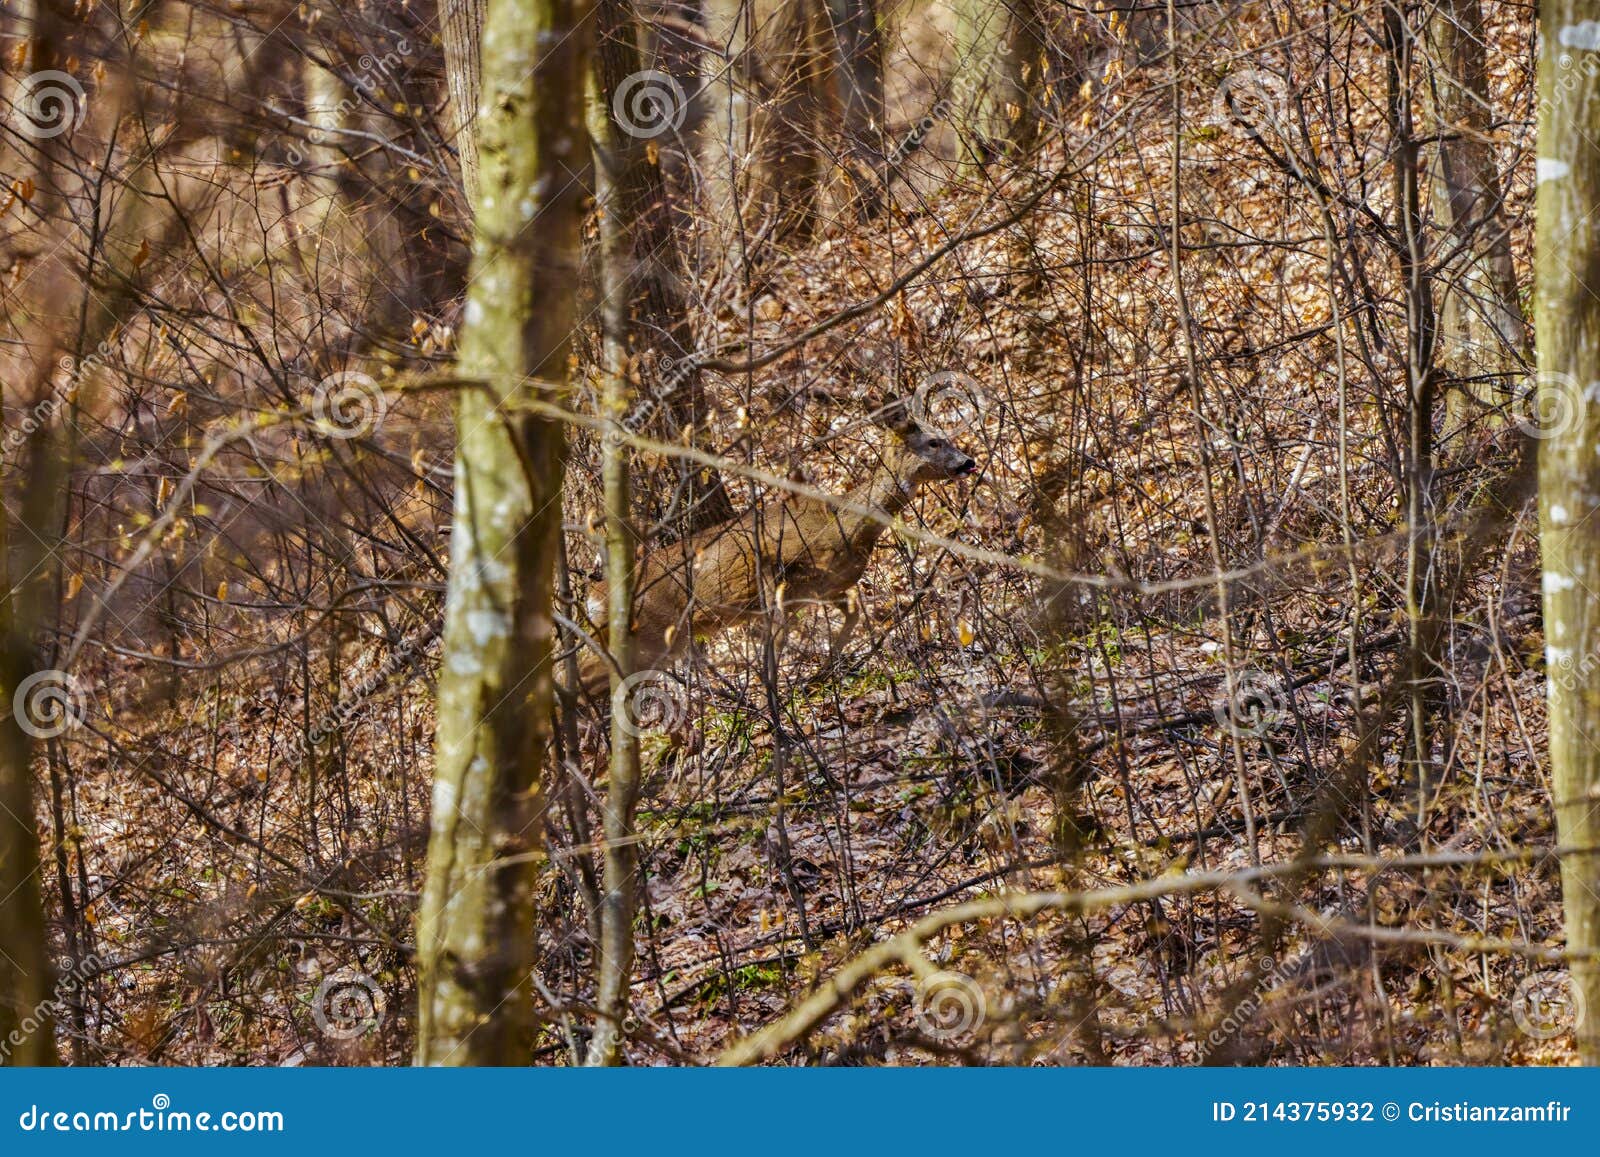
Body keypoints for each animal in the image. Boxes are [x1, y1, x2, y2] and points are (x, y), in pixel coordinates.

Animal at [575, 398, 979, 706]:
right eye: (934, 442)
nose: (969, 461)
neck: (842, 521)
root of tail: (594, 594)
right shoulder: (775, 568)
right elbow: (778, 637)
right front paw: (778, 696)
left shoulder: (826, 586)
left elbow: (852, 615)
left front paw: (823, 671)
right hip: (650, 635)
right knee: (583, 677)